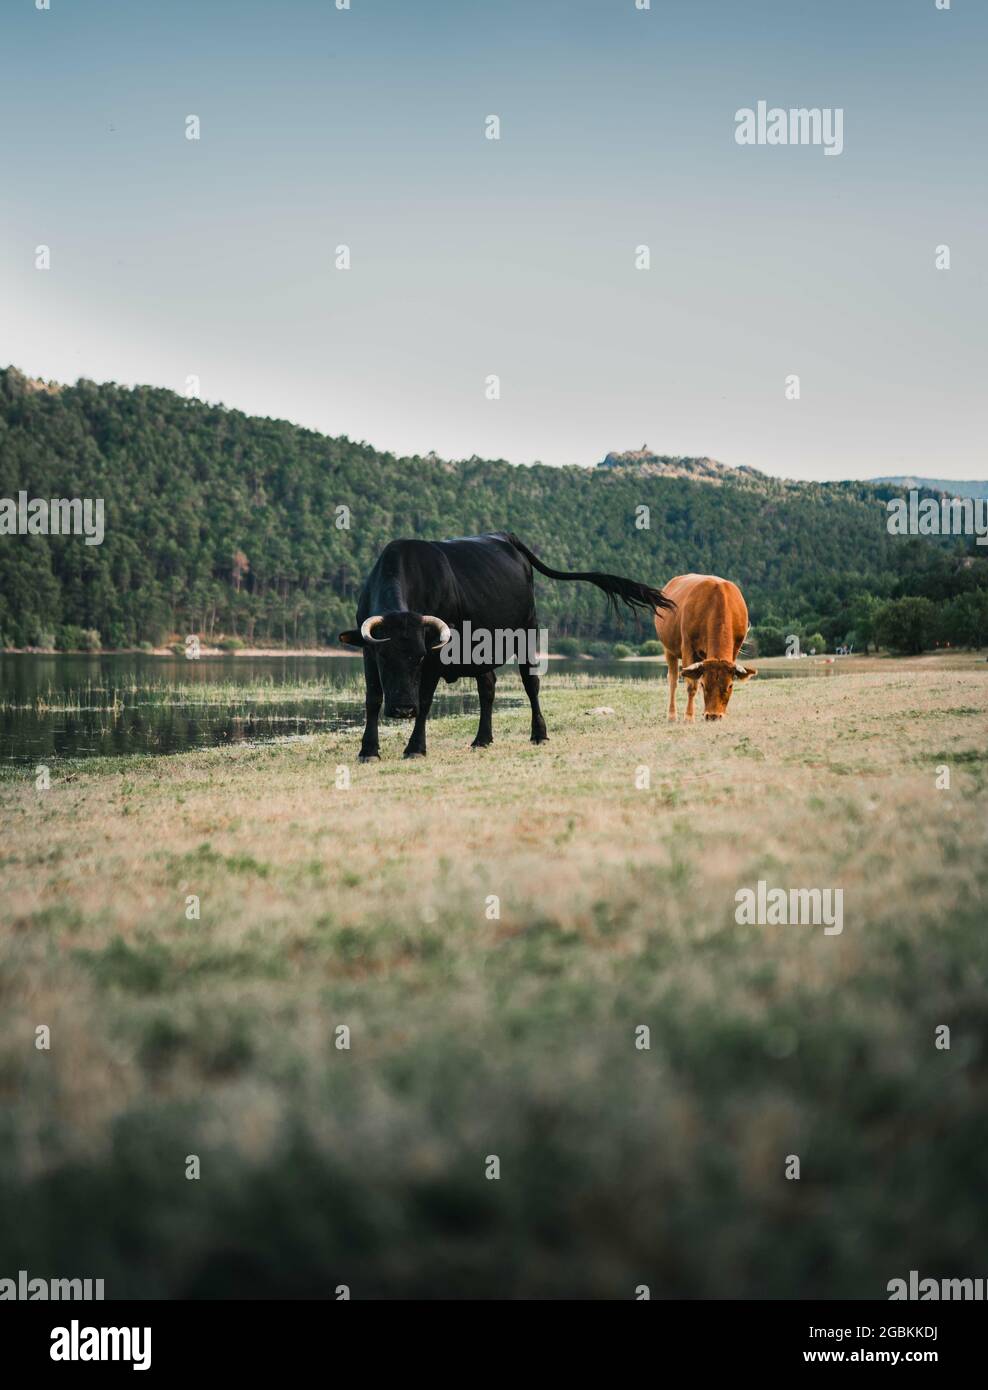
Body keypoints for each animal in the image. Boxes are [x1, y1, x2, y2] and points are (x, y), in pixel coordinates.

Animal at [339, 532, 673, 759]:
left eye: (420, 657)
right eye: (385, 658)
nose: (403, 709)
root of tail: (505, 537)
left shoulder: (436, 656)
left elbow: (426, 698)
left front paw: (415, 747)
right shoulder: (367, 652)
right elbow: (372, 698)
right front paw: (368, 750)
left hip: (528, 632)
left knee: (530, 684)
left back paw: (539, 734)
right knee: (488, 686)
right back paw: (482, 739)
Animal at [653, 574, 757, 722]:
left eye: (730, 685)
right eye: (703, 685)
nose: (713, 716)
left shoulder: (735, 649)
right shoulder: (688, 647)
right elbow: (691, 685)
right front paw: (689, 717)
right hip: (669, 649)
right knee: (673, 680)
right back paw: (672, 715)